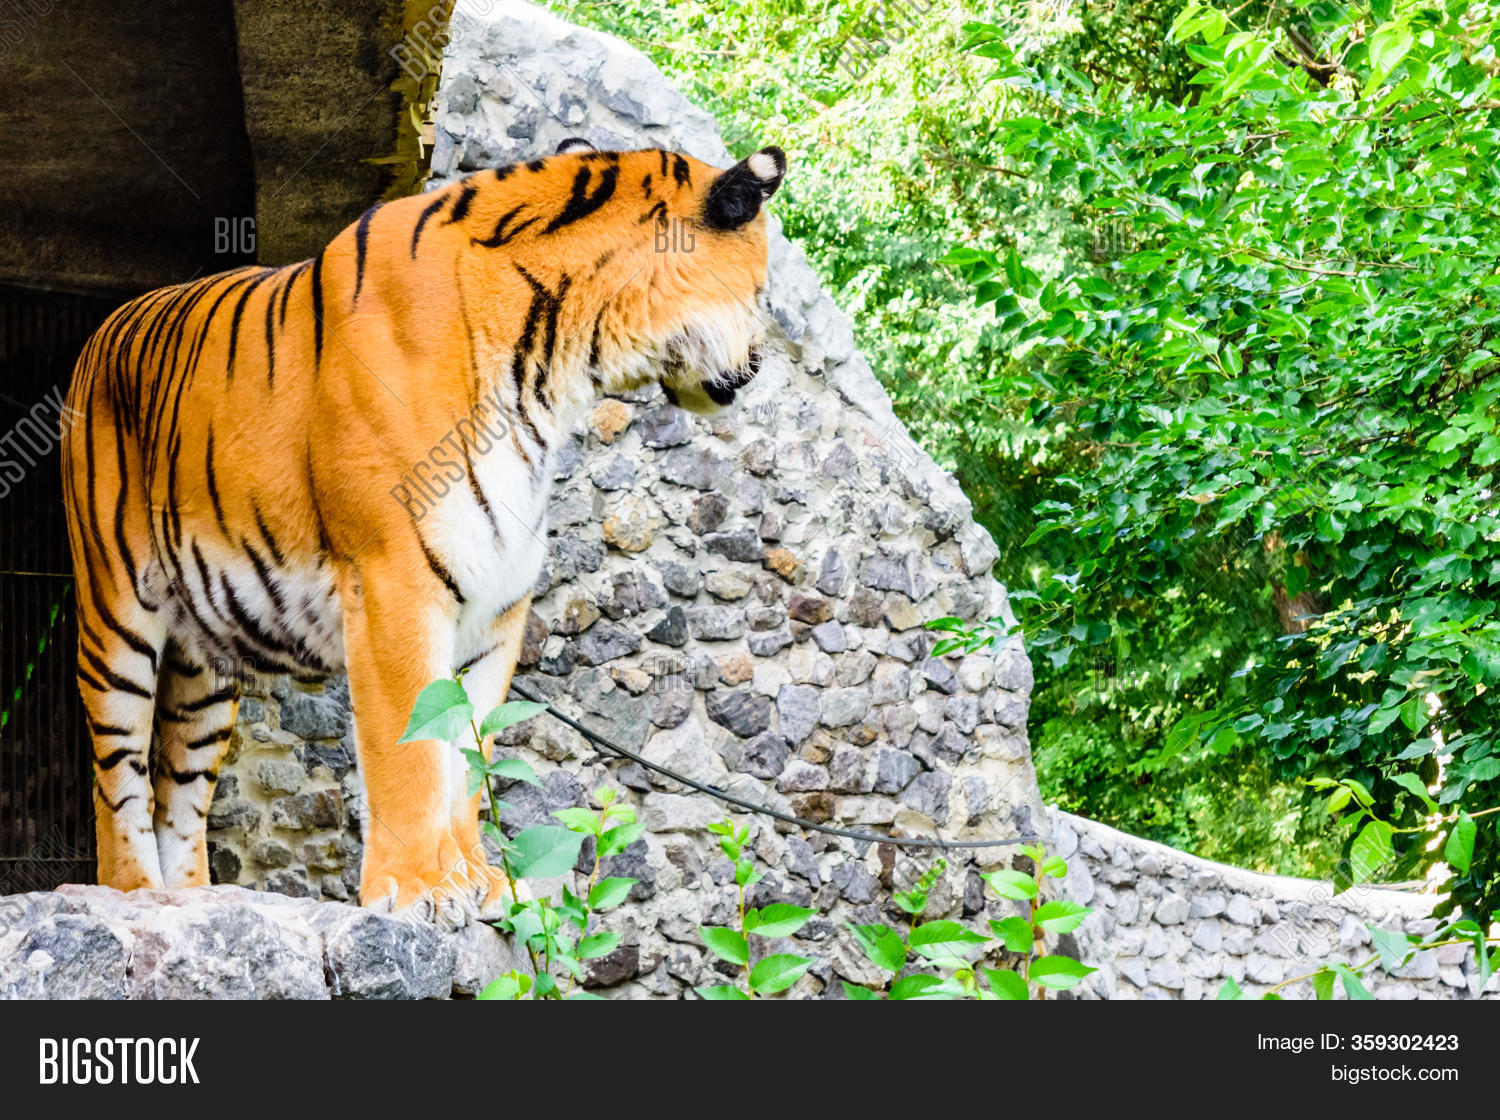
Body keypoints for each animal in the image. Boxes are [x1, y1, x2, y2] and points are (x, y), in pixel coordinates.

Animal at [60, 139, 787, 920]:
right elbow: (407, 749)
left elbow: (468, 757)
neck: (555, 365)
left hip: (205, 659)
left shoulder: (497, 603)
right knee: (117, 768)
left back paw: (194, 901)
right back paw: (135, 894)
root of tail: (104, 326)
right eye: (764, 293)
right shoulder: (394, 580)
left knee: (182, 785)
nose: (758, 362)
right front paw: (417, 890)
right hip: (116, 611)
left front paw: (482, 884)